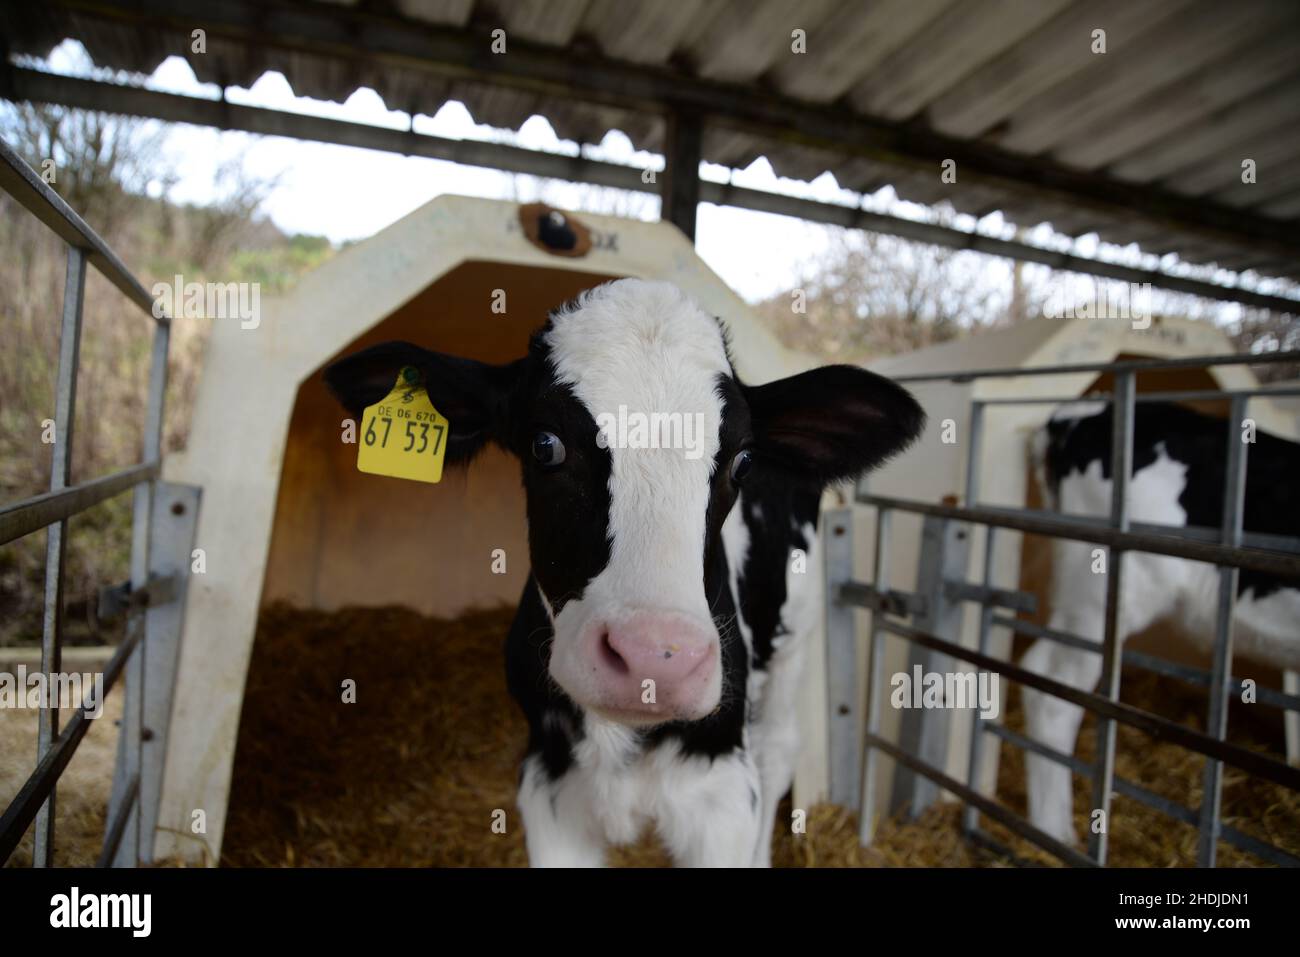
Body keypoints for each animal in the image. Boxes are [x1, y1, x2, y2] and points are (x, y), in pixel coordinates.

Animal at [324, 279, 924, 866]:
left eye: (743, 462)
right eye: (545, 444)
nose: (653, 658)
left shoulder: (722, 791)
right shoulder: (547, 783)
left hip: (796, 637)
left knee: (778, 751)